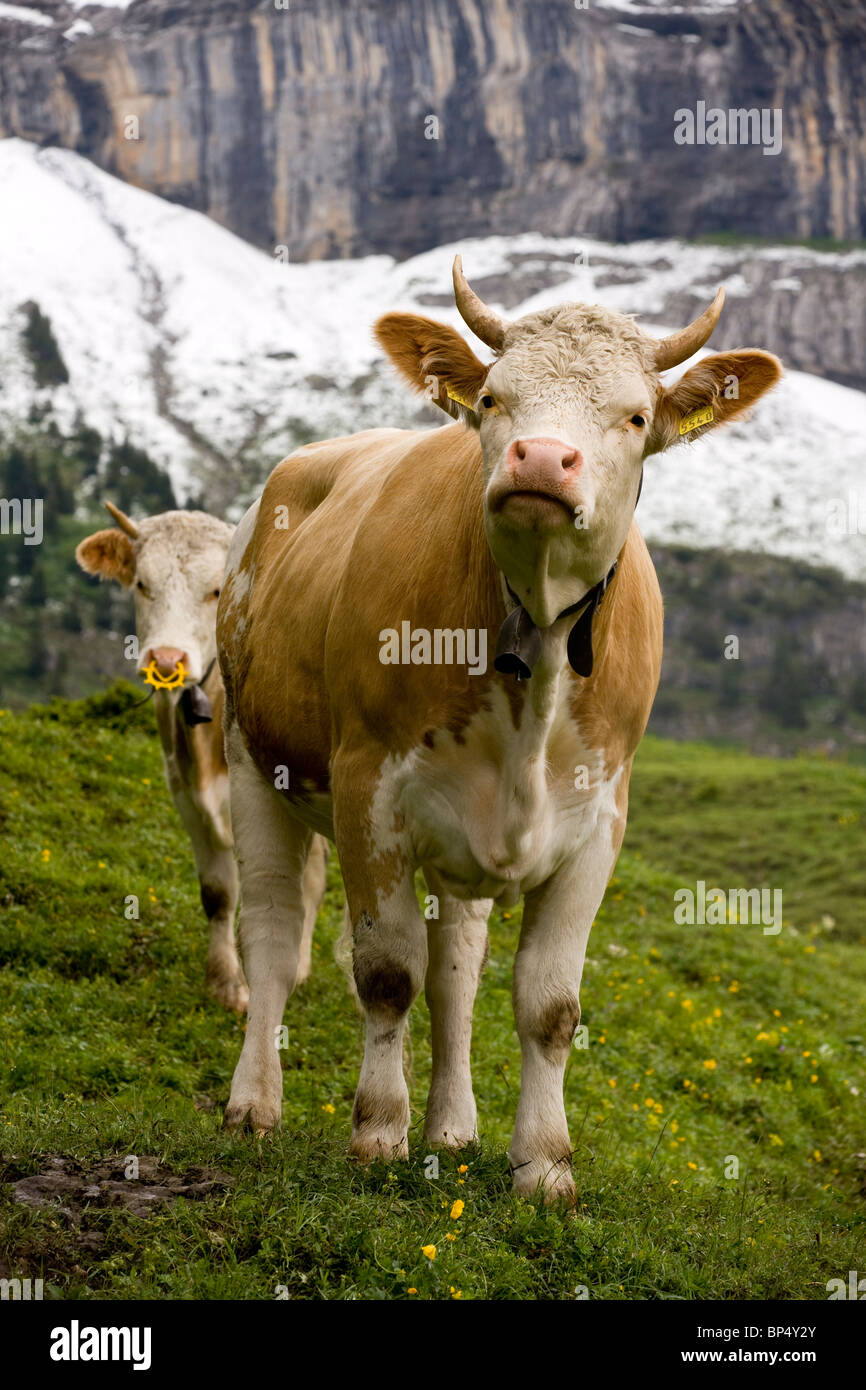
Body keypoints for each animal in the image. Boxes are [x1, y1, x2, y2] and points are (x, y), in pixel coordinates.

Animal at [76, 504, 328, 1014]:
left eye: (215, 590)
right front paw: (226, 982)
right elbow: (217, 892)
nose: (167, 660)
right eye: (141, 584)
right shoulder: (184, 792)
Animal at [217, 259, 781, 1200]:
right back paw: (254, 1105)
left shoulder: (597, 824)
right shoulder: (370, 789)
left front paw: (544, 1164)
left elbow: (547, 1006)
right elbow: (386, 973)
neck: (539, 638)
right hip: (252, 758)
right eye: (492, 399)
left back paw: (452, 1127)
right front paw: (378, 1133)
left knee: (456, 971)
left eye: (635, 416)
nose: (543, 459)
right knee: (270, 935)